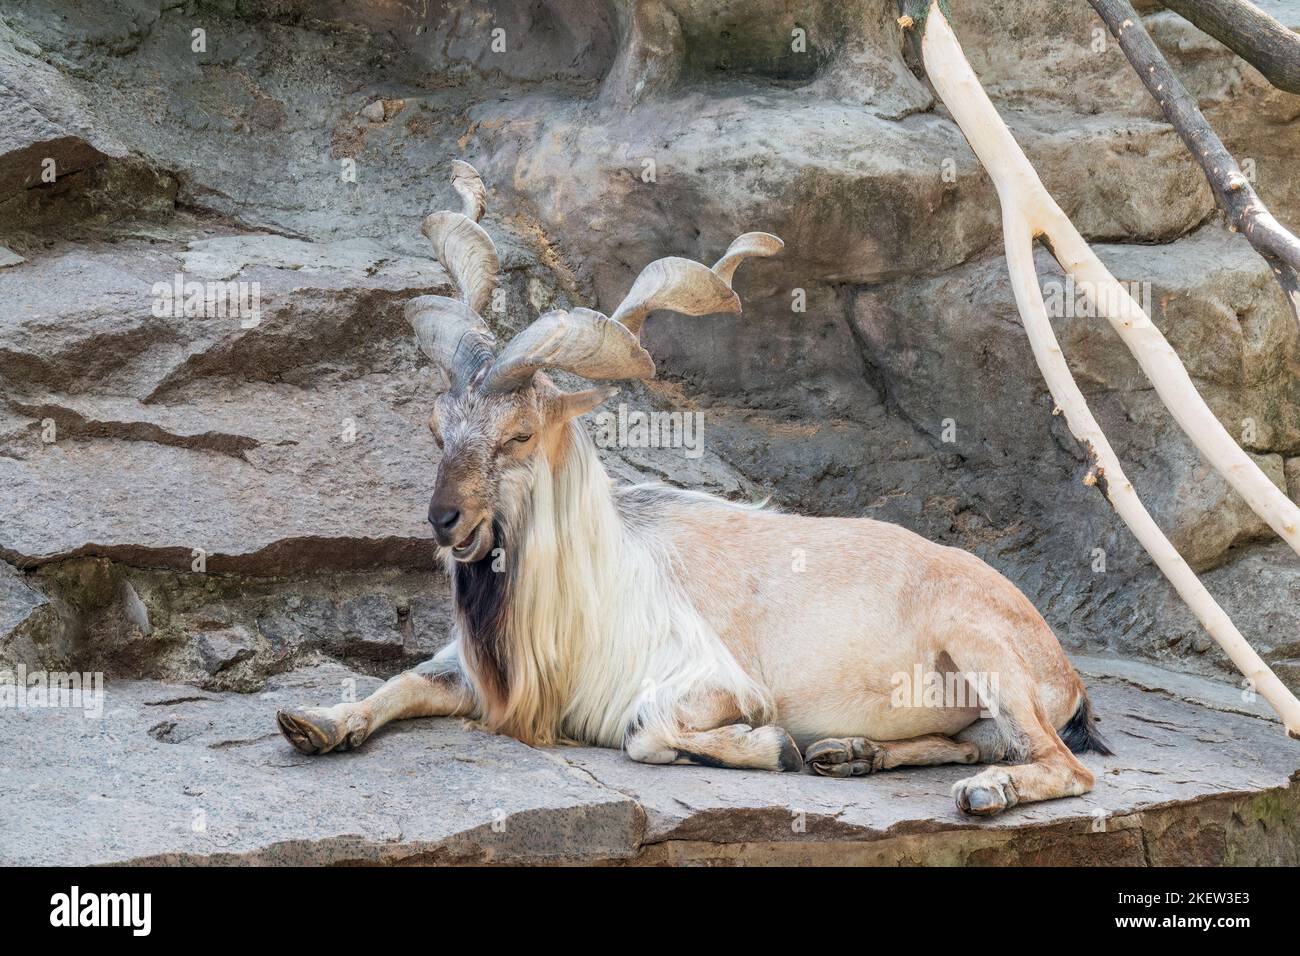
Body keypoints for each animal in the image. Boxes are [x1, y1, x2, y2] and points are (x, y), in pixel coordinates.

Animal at [277, 162, 1111, 816]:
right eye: (435, 426)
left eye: (519, 436)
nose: (445, 519)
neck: (586, 588)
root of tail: (1063, 667)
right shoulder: (473, 672)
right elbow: (400, 683)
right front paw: (316, 722)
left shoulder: (709, 681)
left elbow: (648, 731)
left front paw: (775, 746)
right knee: (974, 743)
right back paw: (851, 754)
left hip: (980, 644)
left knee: (1057, 764)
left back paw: (978, 791)